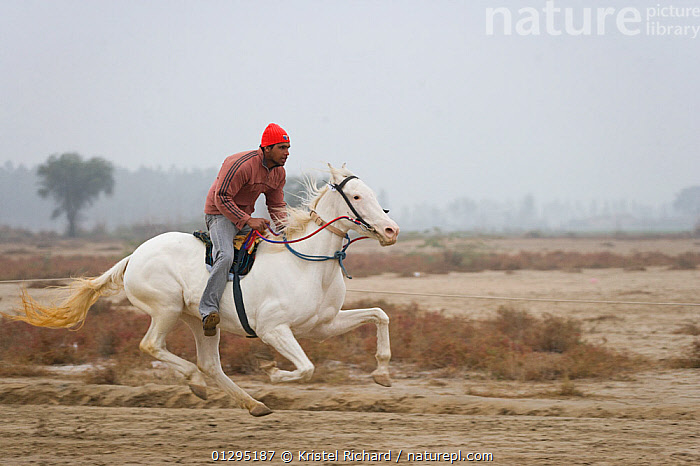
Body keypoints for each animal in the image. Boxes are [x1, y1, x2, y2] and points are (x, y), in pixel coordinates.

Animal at [9, 164, 399, 416]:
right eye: (356, 196)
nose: (391, 230)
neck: (307, 264)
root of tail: (134, 256)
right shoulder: (273, 329)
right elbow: (306, 368)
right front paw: (273, 372)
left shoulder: (323, 326)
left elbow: (379, 315)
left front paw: (382, 374)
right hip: (166, 309)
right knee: (153, 346)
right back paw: (196, 383)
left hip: (200, 321)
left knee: (210, 364)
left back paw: (253, 404)